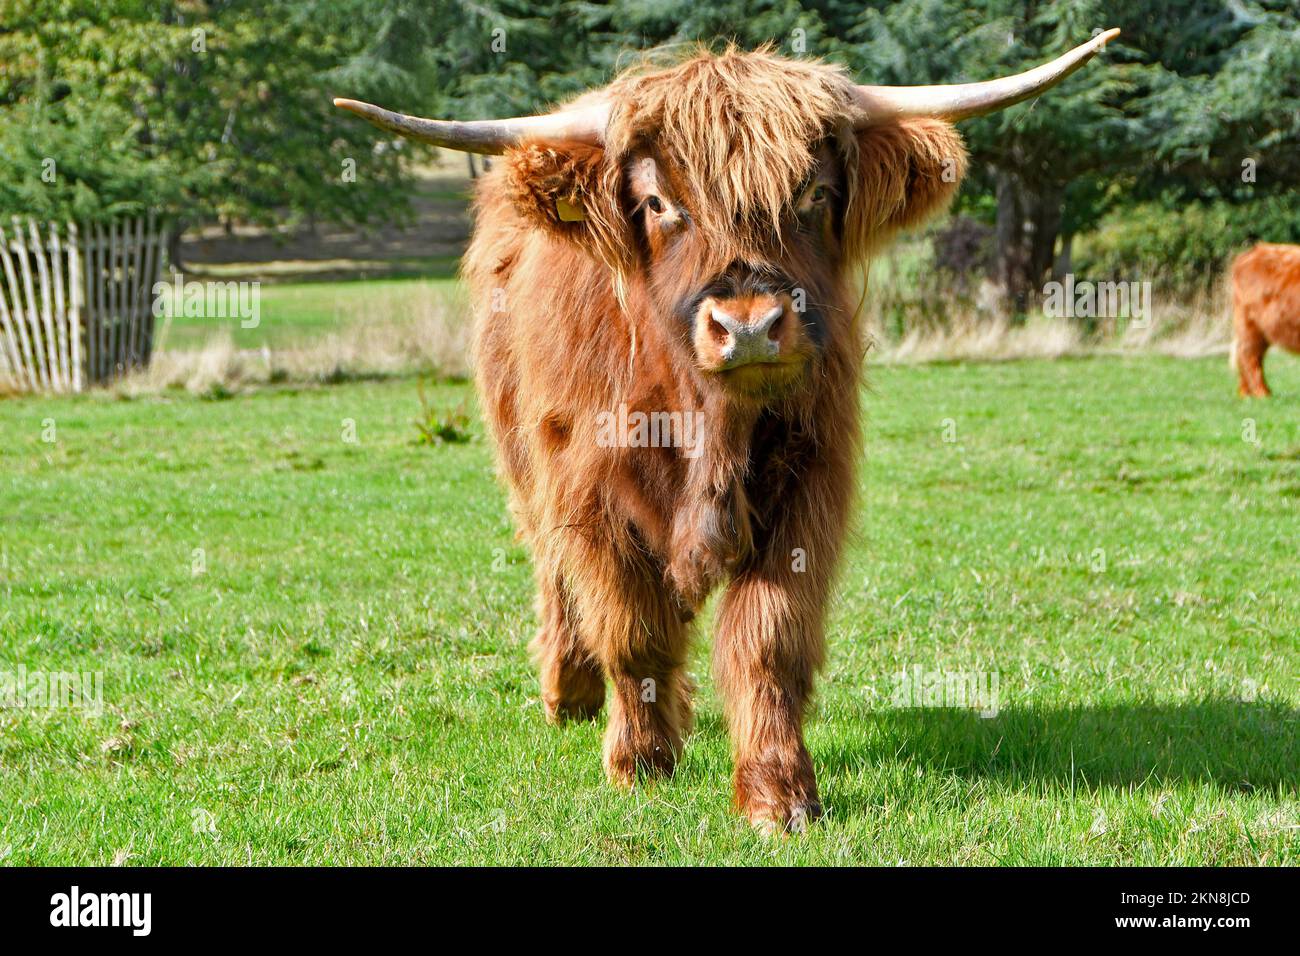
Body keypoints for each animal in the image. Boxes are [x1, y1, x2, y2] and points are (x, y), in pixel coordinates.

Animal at [336, 30, 1119, 832]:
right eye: (658, 202)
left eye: (815, 194)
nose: (747, 327)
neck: (706, 423)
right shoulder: (590, 491)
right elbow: (633, 631)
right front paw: (640, 763)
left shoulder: (809, 486)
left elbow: (767, 639)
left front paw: (779, 793)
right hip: (526, 459)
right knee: (554, 569)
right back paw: (570, 692)